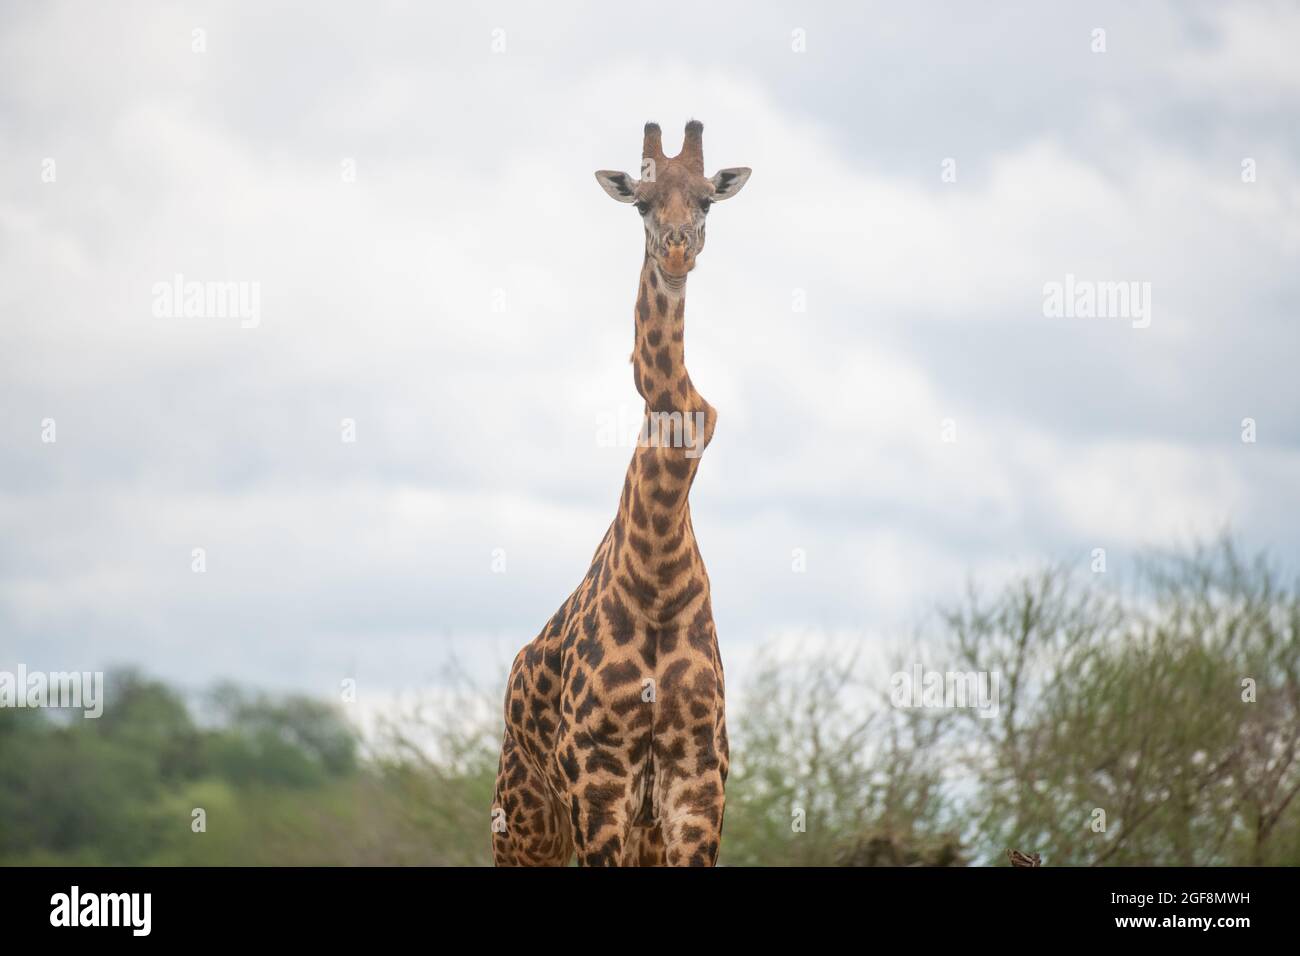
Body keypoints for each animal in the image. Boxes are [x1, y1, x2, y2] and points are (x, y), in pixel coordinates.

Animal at [491, 120, 751, 867]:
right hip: (524, 823)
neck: (658, 570)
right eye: (640, 202)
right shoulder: (598, 784)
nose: (677, 248)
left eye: (707, 198)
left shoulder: (696, 787)